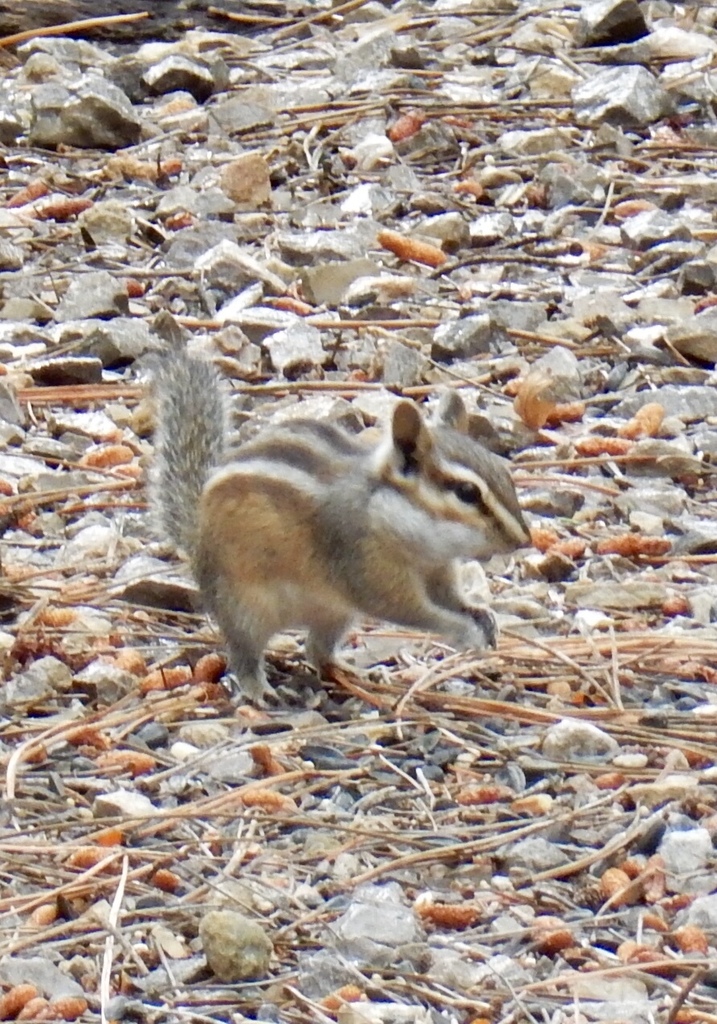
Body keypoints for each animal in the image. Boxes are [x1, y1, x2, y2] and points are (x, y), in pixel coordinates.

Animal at [151, 350, 530, 702]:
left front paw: (481, 613)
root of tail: (195, 536)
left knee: (317, 650)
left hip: (334, 615)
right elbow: (408, 609)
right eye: (467, 492)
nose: (523, 540)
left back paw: (354, 672)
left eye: (505, 473)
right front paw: (461, 628)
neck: (416, 543)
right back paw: (258, 688)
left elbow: (450, 598)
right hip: (243, 606)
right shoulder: (364, 568)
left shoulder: (437, 570)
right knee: (244, 651)